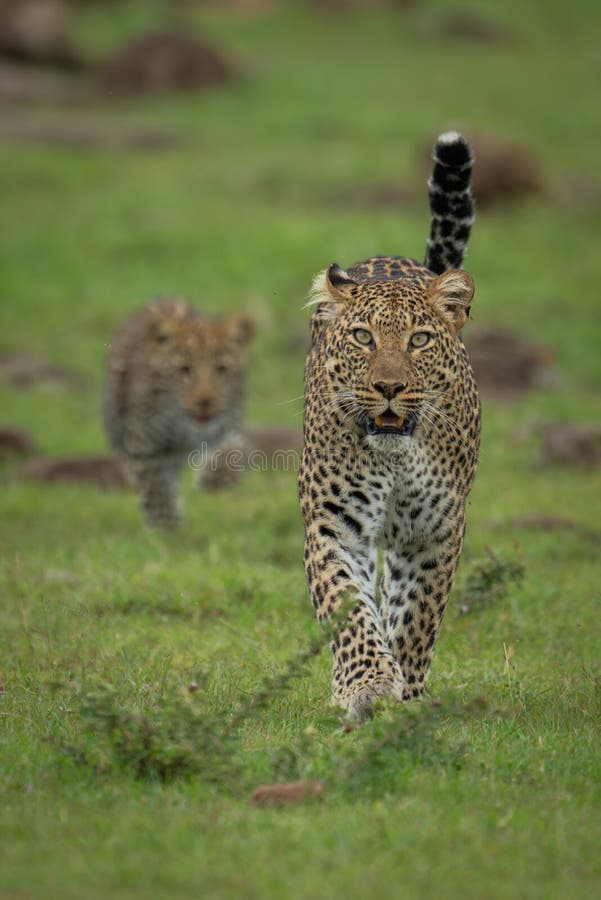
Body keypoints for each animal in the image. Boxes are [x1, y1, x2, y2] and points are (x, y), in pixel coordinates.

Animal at [104, 298, 254, 528]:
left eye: (221, 368)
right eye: (184, 369)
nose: (205, 402)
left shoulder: (228, 426)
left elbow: (234, 449)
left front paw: (216, 477)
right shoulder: (144, 442)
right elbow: (154, 487)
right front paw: (165, 527)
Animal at [299, 132, 479, 720]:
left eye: (419, 340)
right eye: (363, 337)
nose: (389, 387)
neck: (395, 456)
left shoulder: (435, 533)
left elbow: (417, 615)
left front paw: (406, 692)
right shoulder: (334, 523)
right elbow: (347, 605)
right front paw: (369, 685)